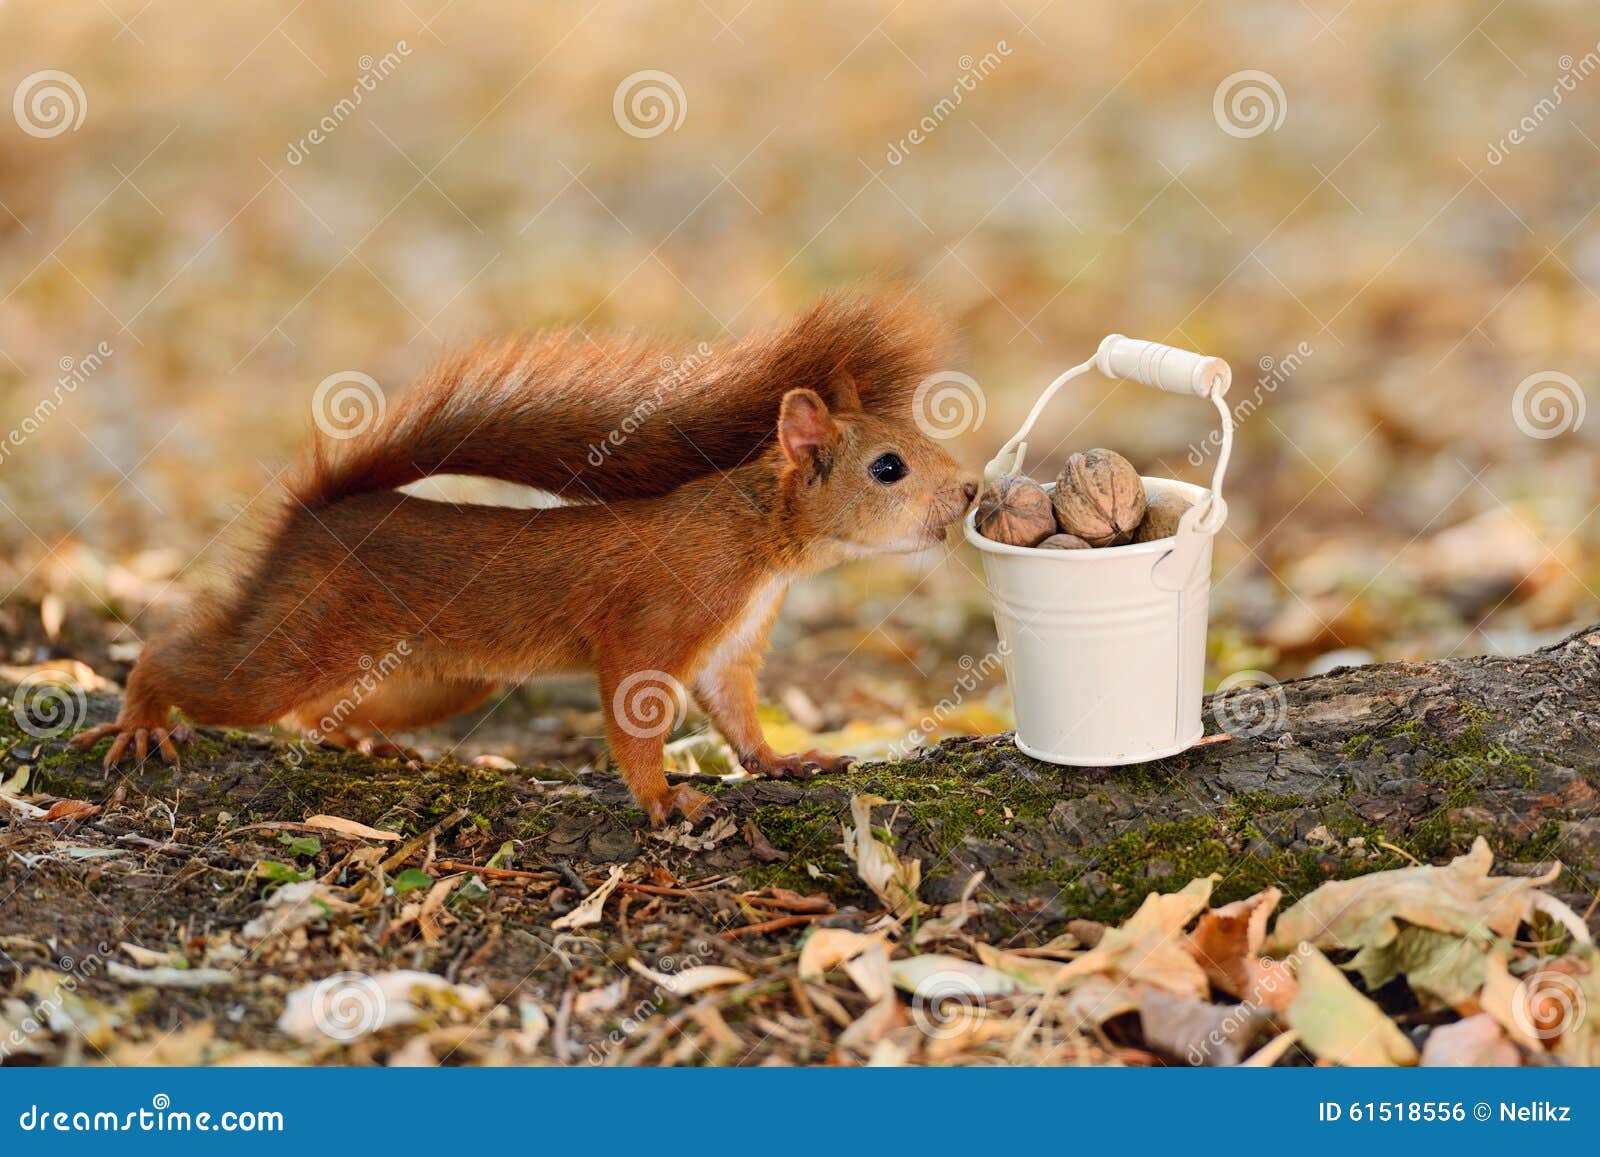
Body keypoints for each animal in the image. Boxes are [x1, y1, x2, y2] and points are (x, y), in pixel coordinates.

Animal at [70, 293, 980, 824]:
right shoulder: (659, 618)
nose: (970, 490)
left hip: (436, 678)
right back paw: (143, 717)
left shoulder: (732, 643)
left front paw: (785, 760)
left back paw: (366, 742)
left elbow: (736, 712)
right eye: (888, 467)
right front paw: (663, 799)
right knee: (194, 665)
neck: (764, 543)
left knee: (317, 712)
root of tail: (317, 516)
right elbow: (636, 712)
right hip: (301, 637)